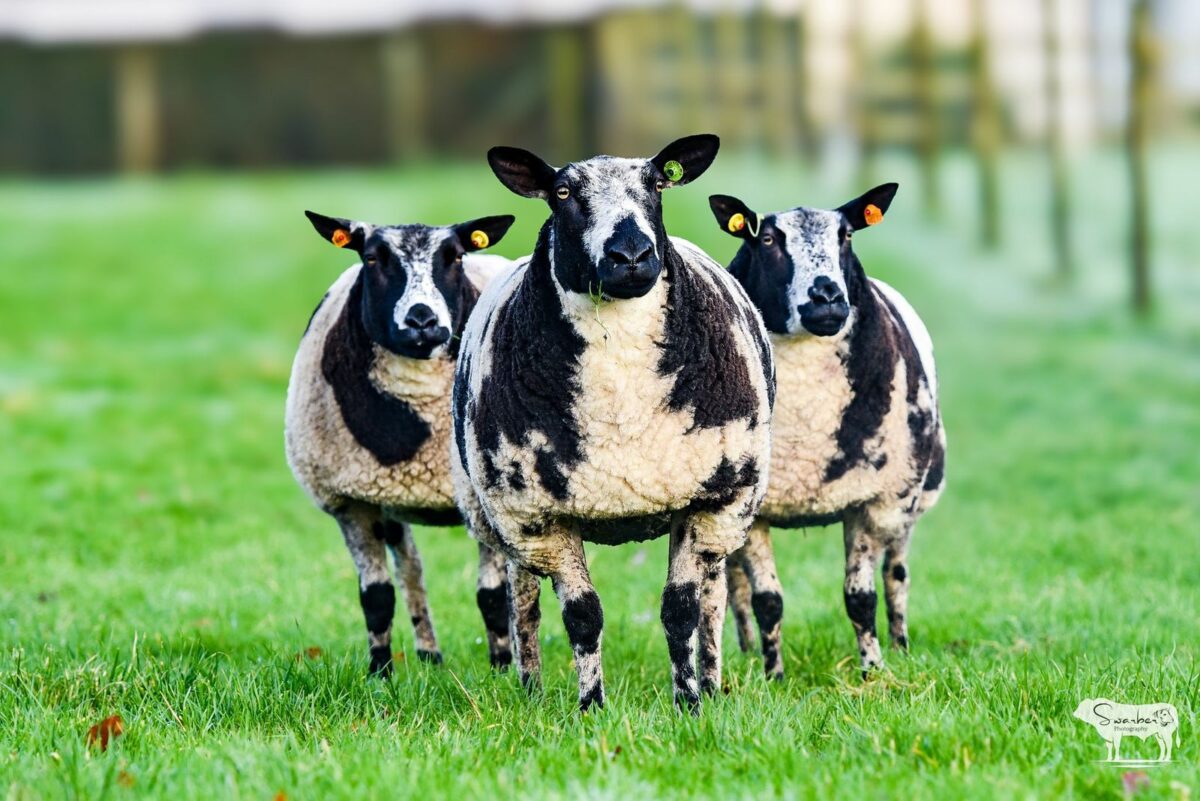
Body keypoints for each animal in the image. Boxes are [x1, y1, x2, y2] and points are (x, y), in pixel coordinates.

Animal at [285, 209, 516, 676]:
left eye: (456, 257)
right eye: (372, 258)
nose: (422, 321)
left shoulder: (481, 496)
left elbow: (492, 596)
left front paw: (501, 667)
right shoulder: (352, 504)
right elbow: (377, 597)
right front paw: (380, 673)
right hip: (389, 503)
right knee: (411, 568)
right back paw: (429, 655)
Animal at [451, 135, 775, 712]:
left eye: (657, 184)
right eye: (562, 192)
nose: (631, 256)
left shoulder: (707, 498)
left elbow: (682, 611)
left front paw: (689, 703)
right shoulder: (539, 514)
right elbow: (582, 616)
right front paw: (591, 707)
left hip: (725, 510)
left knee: (713, 597)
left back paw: (714, 683)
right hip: (498, 515)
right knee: (522, 599)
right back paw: (530, 689)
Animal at [708, 184, 946, 679]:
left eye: (847, 236)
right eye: (767, 240)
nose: (827, 297)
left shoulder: (872, 500)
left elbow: (861, 598)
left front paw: (873, 670)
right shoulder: (755, 509)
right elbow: (767, 601)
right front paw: (773, 676)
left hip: (908, 502)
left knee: (897, 575)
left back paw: (901, 646)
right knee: (735, 584)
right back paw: (744, 652)